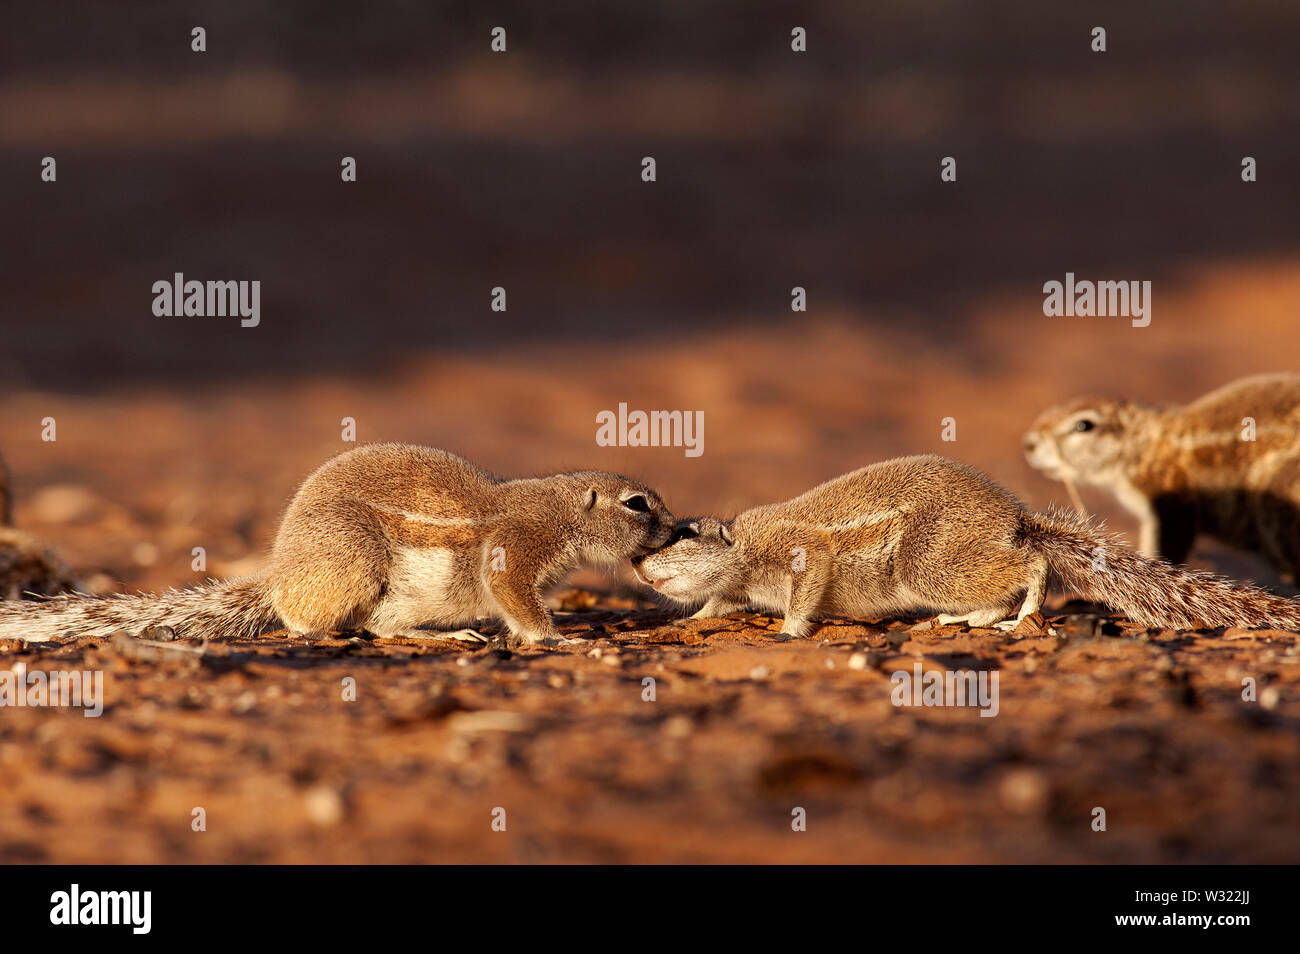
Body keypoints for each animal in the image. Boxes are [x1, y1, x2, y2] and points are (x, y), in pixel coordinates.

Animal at [0, 443, 675, 645]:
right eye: (637, 505)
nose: (681, 529)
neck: (559, 512)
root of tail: (278, 573)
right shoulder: (516, 549)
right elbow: (515, 598)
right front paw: (557, 638)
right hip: (353, 563)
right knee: (319, 619)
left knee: (382, 625)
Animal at [632, 454, 1300, 637]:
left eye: (683, 532)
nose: (637, 564)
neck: (743, 551)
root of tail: (1018, 518)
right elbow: (718, 603)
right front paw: (699, 614)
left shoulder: (801, 552)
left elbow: (803, 591)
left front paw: (789, 630)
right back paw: (971, 617)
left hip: (930, 564)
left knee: (1030, 564)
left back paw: (1018, 613)